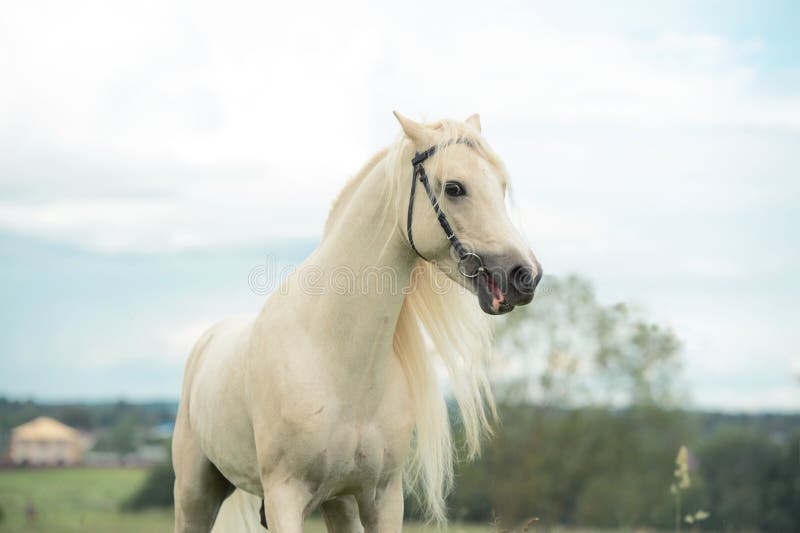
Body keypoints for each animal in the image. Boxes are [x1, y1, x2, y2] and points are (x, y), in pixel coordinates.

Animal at [172, 112, 542, 533]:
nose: (524, 276)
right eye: (454, 188)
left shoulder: (383, 498)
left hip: (340, 504)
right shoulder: (285, 497)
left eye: (501, 187)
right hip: (194, 495)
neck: (336, 358)